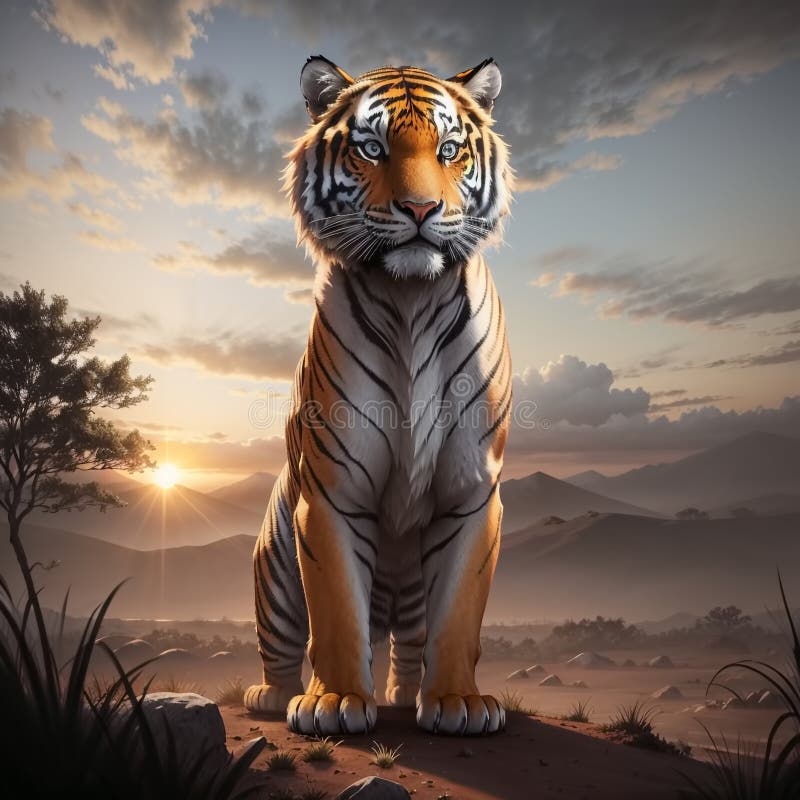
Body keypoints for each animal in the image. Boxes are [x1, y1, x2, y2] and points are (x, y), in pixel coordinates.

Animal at [243, 55, 513, 736]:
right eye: (372, 148)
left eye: (450, 150)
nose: (419, 207)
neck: (410, 298)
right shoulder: (332, 494)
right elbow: (336, 609)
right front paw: (335, 702)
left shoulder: (471, 493)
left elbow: (458, 612)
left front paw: (458, 703)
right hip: (275, 562)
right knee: (285, 641)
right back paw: (272, 696)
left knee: (411, 644)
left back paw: (405, 696)